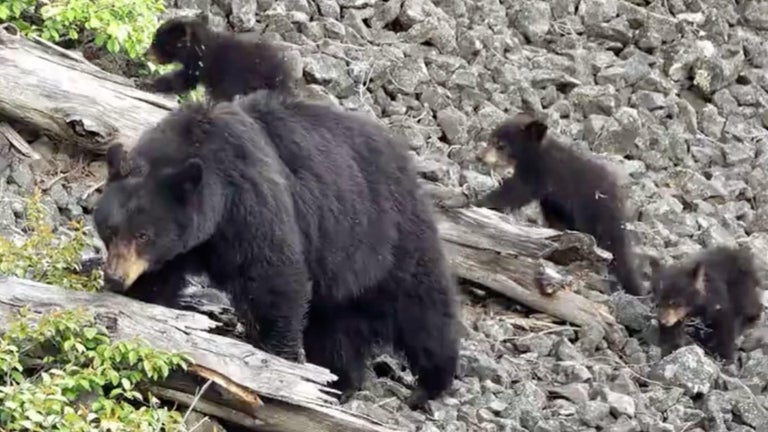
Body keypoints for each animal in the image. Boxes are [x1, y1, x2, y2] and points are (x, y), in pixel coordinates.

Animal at [93, 91, 461, 410]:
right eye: (110, 230)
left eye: (143, 234)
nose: (114, 277)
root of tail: (405, 161)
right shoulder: (183, 242)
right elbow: (162, 277)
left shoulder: (249, 198)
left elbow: (273, 274)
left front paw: (279, 360)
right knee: (336, 330)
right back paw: (340, 382)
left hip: (388, 237)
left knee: (422, 307)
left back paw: (429, 384)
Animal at [144, 15, 292, 102]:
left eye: (155, 41)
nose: (145, 54)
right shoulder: (198, 69)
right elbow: (184, 79)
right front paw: (152, 82)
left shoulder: (228, 71)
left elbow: (223, 94)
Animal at [473, 113, 645, 297]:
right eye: (490, 138)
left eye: (501, 145)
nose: (479, 156)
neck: (536, 153)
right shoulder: (552, 201)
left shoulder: (541, 174)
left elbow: (518, 190)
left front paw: (483, 201)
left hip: (595, 212)